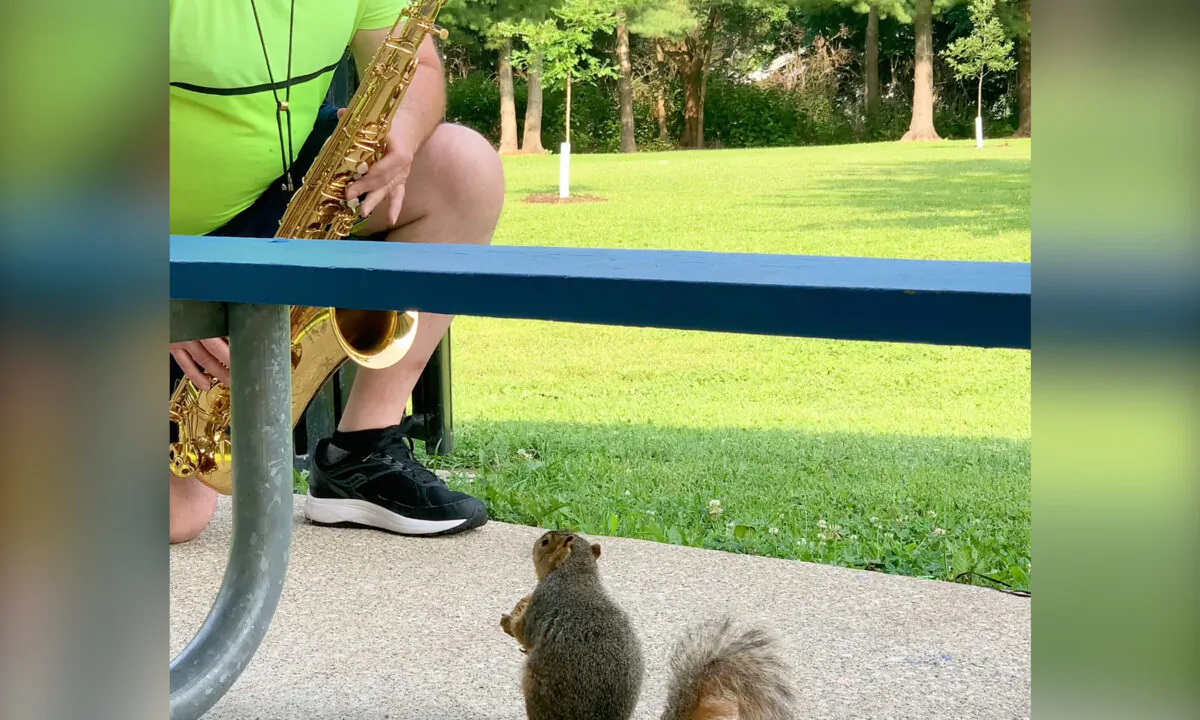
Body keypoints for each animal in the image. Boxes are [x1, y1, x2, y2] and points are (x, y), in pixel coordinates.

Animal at [501, 530, 796, 720]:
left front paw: (510, 620)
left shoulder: (546, 599)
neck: (577, 572)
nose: (535, 543)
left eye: (545, 542)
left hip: (538, 690)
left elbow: (525, 632)